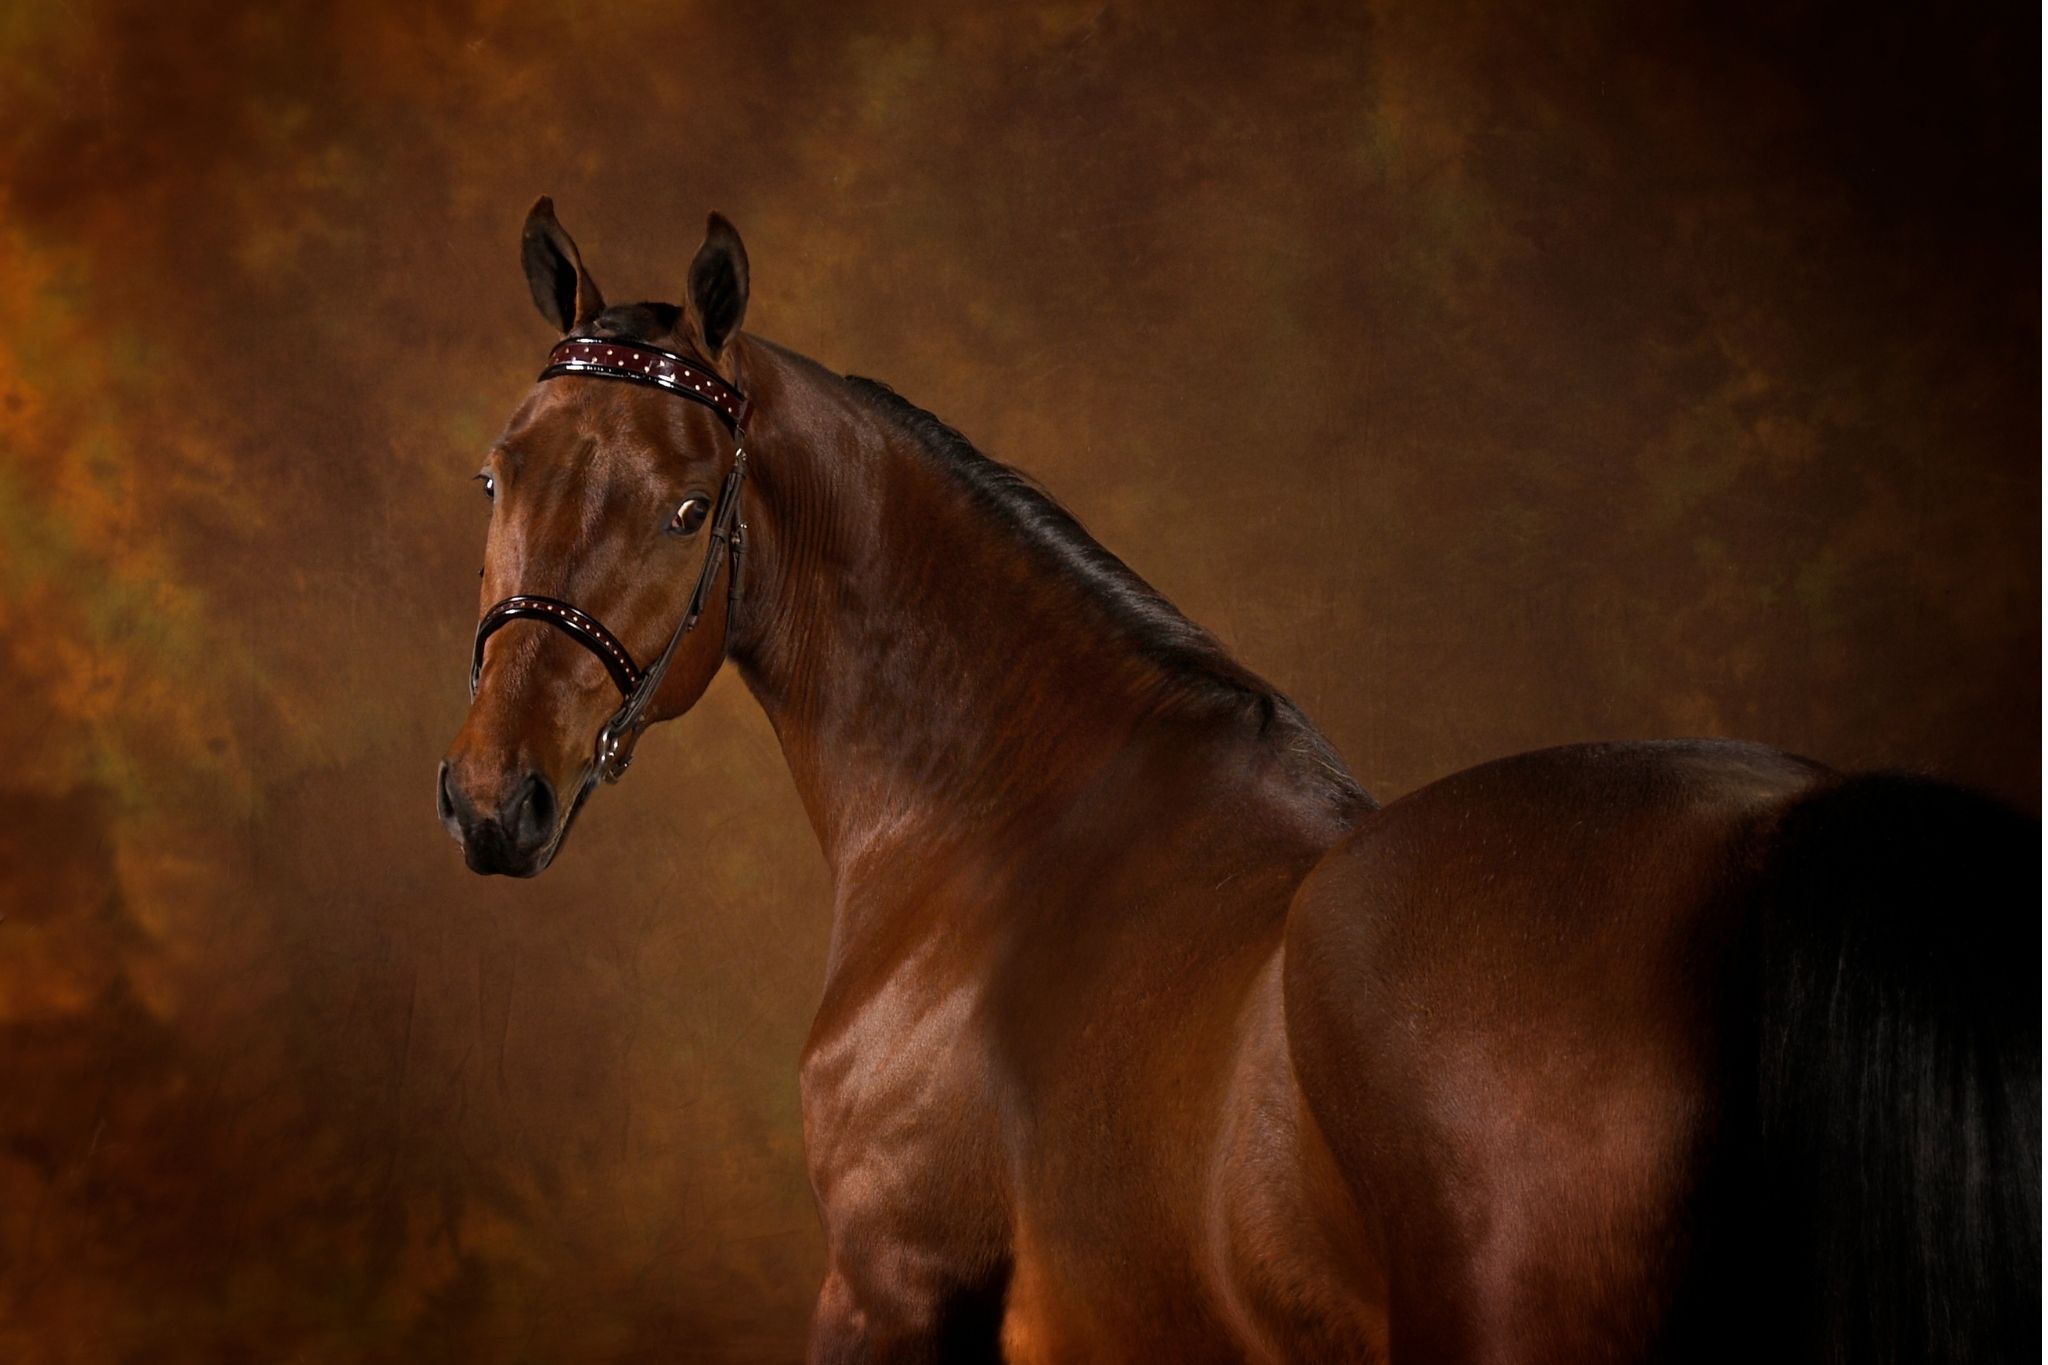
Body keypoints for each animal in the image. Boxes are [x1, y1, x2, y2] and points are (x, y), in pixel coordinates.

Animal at [436, 199, 2040, 1363]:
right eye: (498, 472)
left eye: (685, 506)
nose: (494, 797)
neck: (1007, 826)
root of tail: (1772, 834)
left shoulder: (888, 1286)